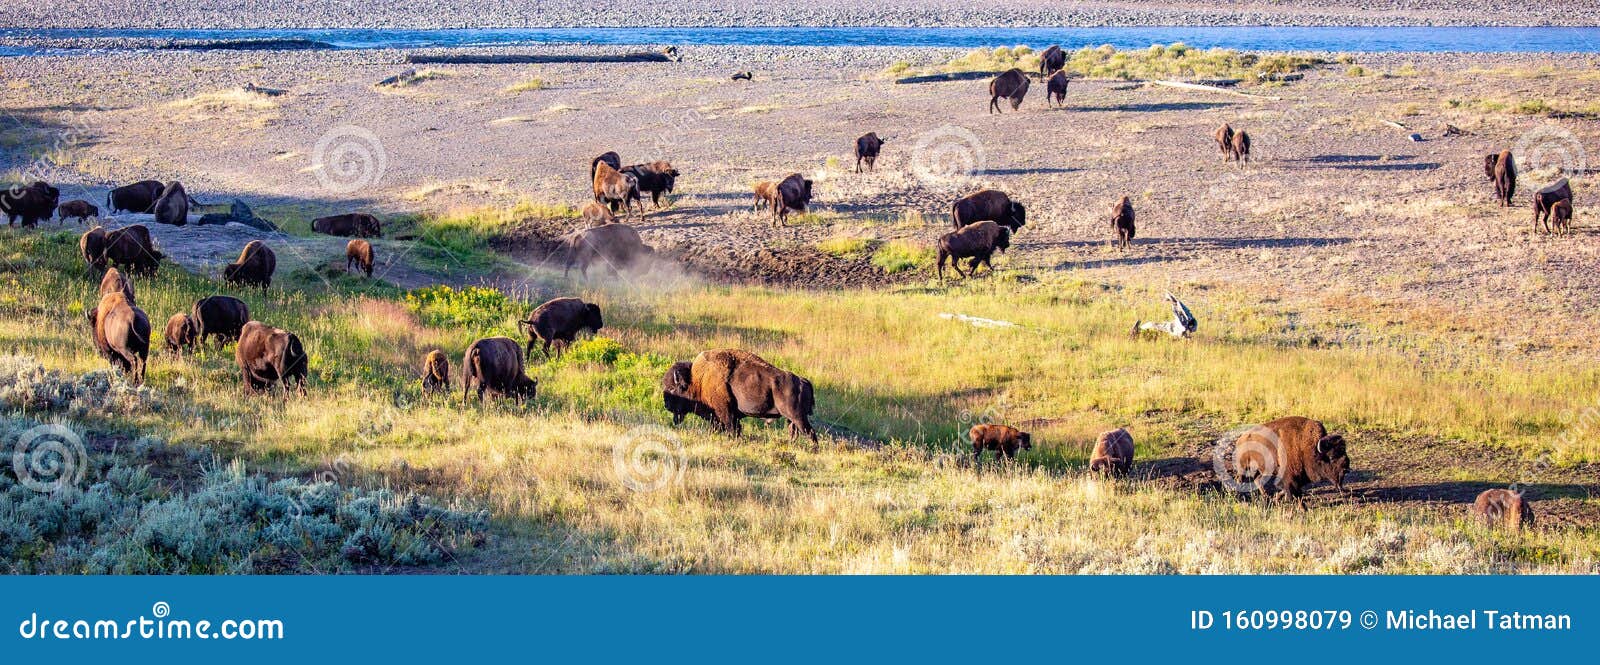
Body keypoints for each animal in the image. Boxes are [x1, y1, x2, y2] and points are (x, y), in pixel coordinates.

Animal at [661, 348, 816, 441]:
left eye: (673, 388)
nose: (666, 405)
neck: (698, 380)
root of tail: (803, 380)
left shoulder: (724, 412)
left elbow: (731, 427)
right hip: (792, 419)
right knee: (794, 432)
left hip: (798, 417)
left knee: (810, 432)